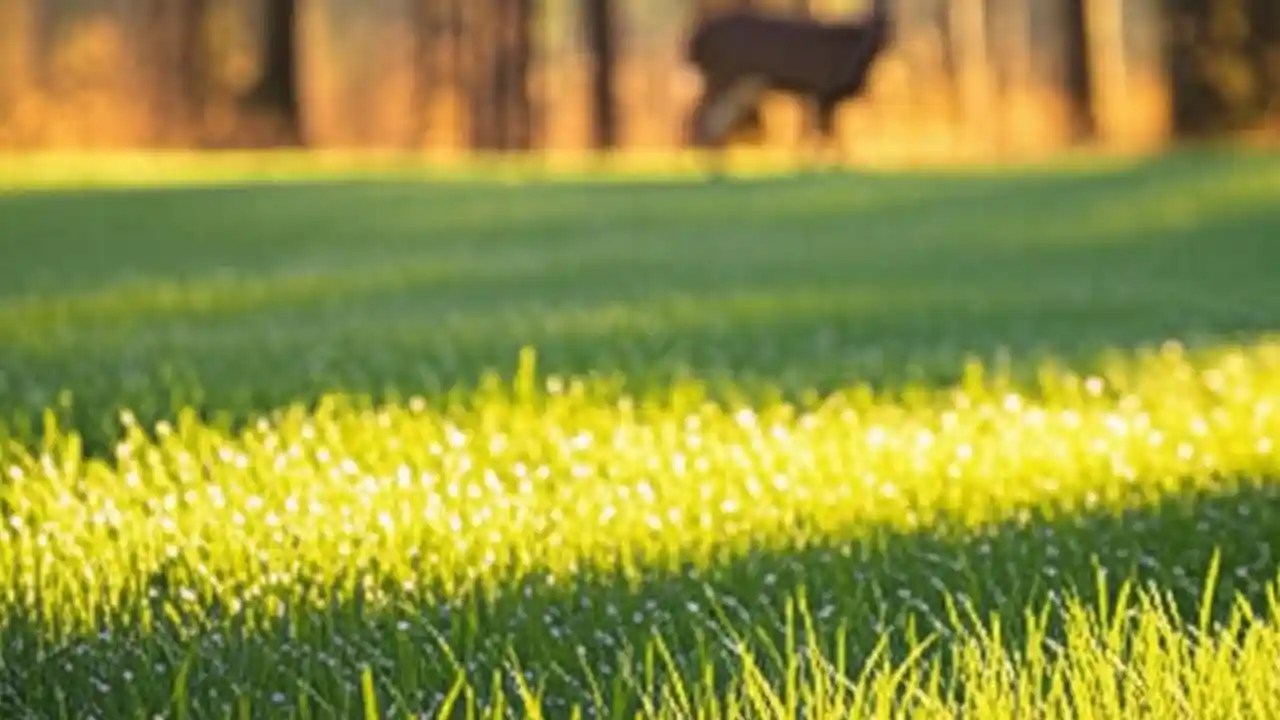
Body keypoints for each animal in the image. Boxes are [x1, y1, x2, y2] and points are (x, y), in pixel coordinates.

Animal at [685, 0, 893, 166]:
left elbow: (824, 132)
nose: (884, 18)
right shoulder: (822, 90)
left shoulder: (821, 96)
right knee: (702, 116)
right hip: (722, 74)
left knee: (716, 118)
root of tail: (694, 42)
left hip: (739, 83)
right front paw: (828, 165)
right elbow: (826, 132)